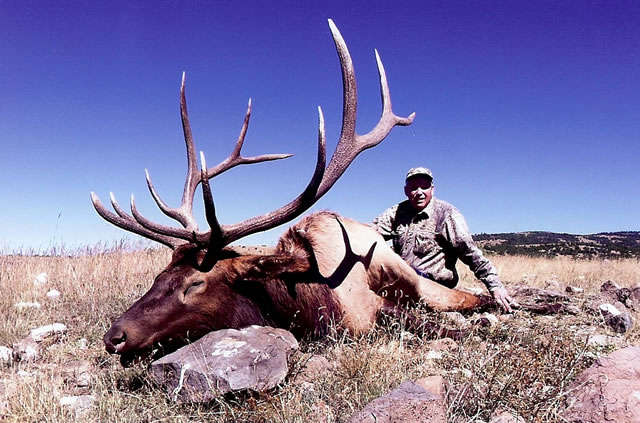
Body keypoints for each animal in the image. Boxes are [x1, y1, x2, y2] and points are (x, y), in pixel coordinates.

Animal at [92, 20, 494, 366]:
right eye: (158, 277)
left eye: (195, 283)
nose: (115, 336)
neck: (305, 306)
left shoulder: (370, 308)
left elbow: (434, 325)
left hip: (418, 281)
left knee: (472, 295)